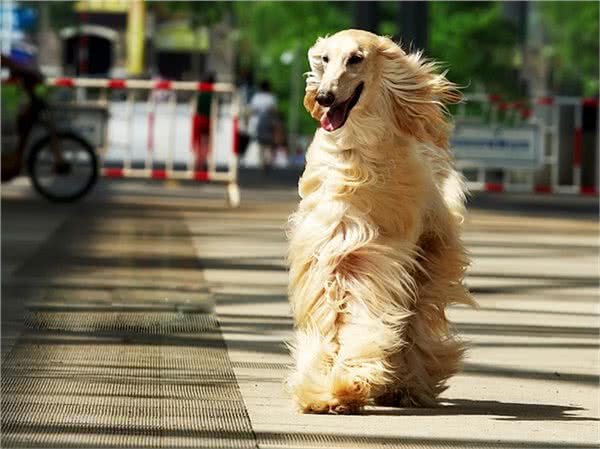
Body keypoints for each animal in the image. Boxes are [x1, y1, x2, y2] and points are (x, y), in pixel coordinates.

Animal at [288, 29, 476, 412]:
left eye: (356, 59)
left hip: (428, 261)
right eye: (325, 58)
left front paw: (348, 383)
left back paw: (407, 384)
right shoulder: (327, 255)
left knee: (416, 322)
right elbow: (326, 319)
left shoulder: (372, 260)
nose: (324, 97)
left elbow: (364, 318)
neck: (353, 156)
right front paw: (319, 388)